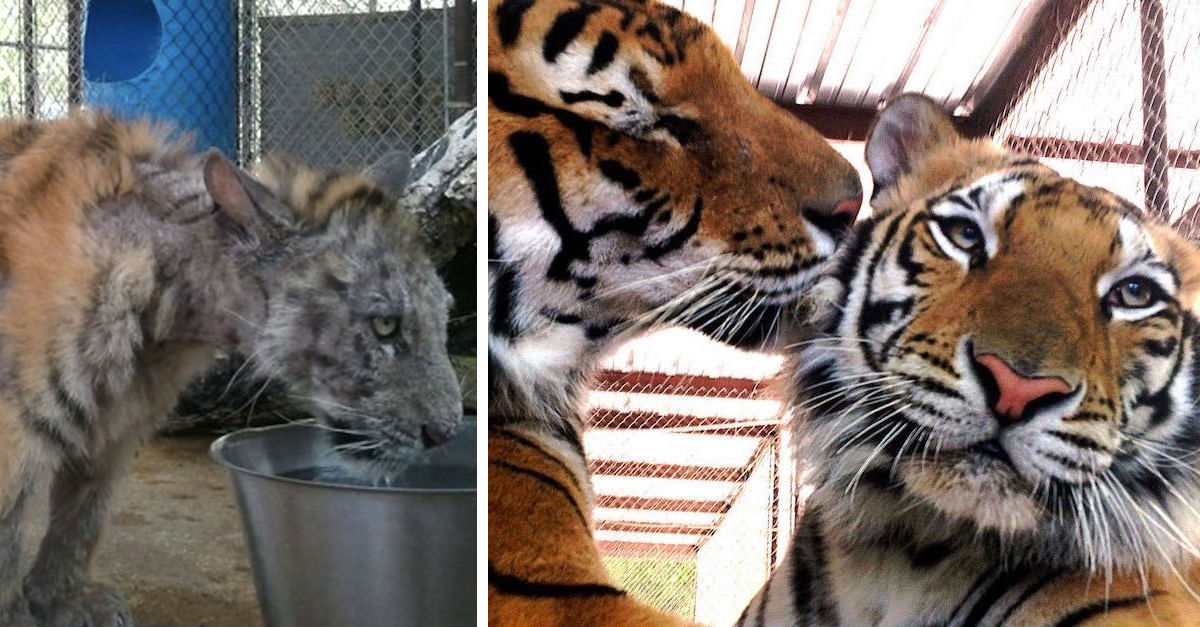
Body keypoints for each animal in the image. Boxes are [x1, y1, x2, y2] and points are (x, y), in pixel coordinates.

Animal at [0, 112, 460, 627]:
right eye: (384, 325)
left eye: (444, 314)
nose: (445, 433)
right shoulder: (17, 428)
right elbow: (10, 537)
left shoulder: (114, 426)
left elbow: (82, 517)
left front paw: (62, 600)